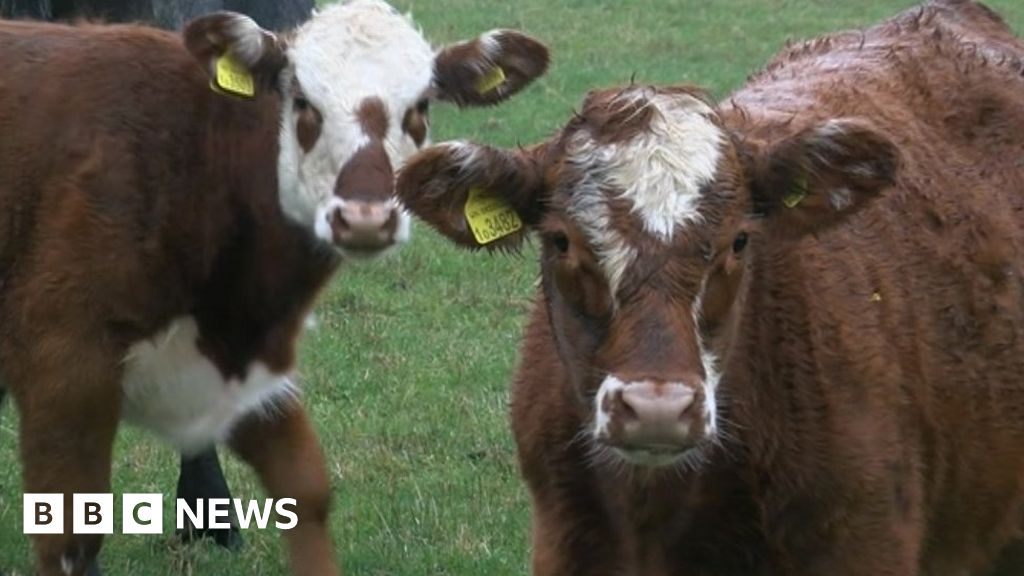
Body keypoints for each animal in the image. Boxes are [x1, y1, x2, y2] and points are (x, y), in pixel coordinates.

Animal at [0, 0, 548, 574]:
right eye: (303, 101)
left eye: (419, 106)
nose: (365, 219)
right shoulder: (63, 367)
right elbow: (70, 539)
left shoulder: (248, 360)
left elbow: (305, 489)